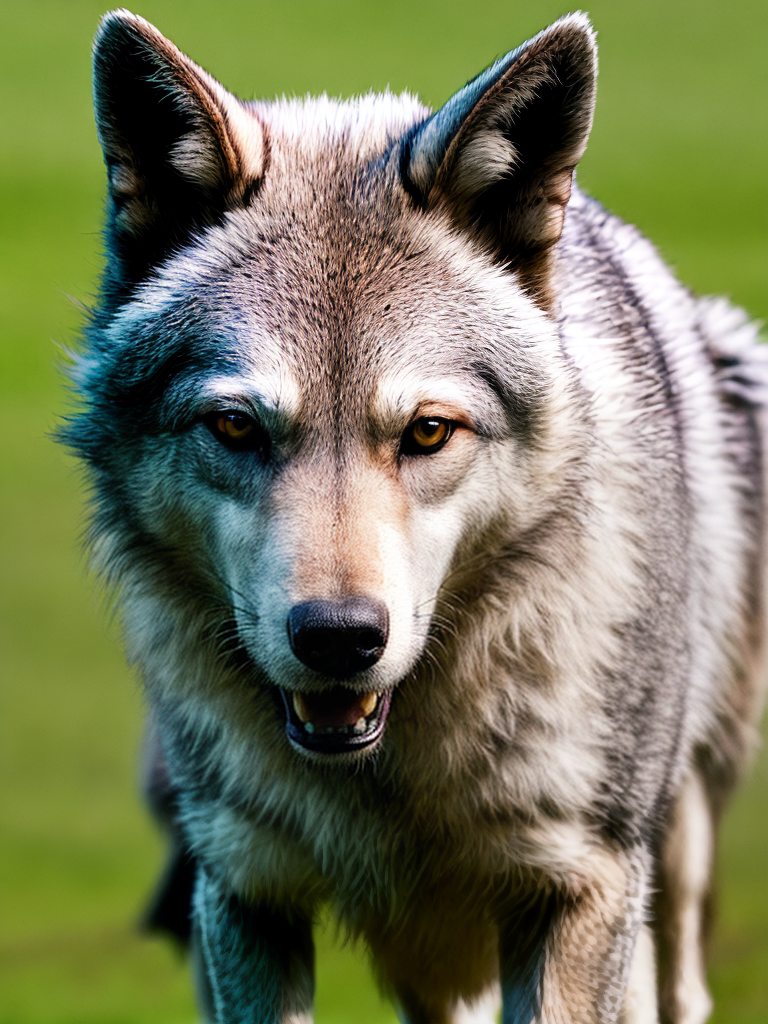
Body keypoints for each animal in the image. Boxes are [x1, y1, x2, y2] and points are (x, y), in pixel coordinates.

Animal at [65, 8, 767, 1023]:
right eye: (235, 426)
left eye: (428, 431)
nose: (338, 637)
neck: (388, 783)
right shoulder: (242, 895)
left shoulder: (580, 885)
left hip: (673, 875)